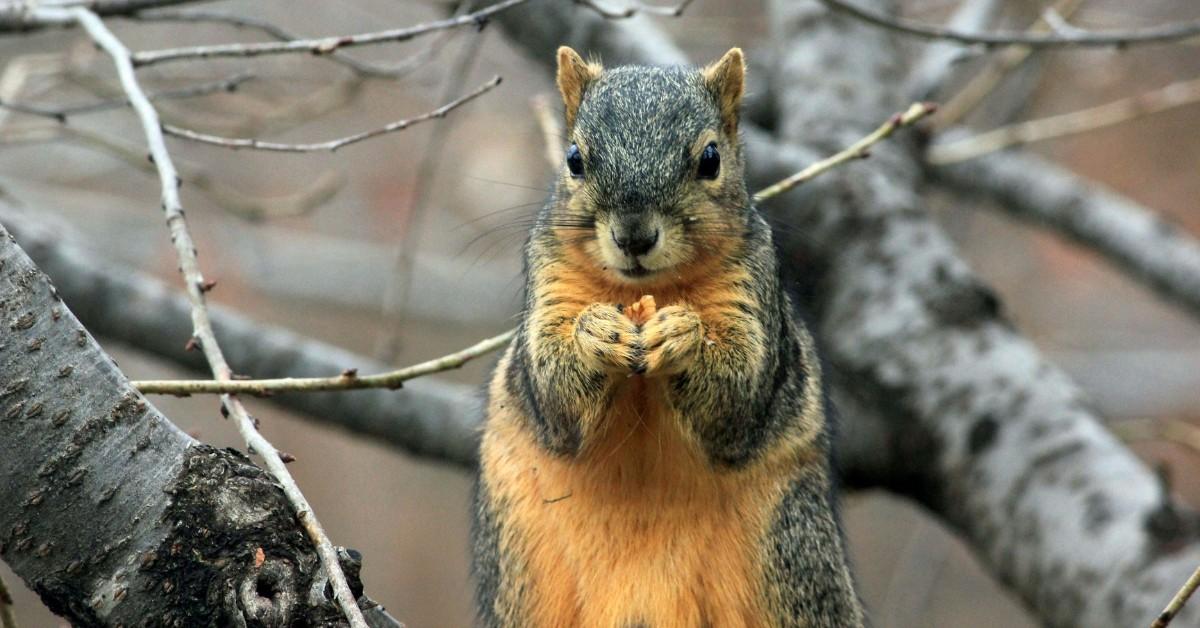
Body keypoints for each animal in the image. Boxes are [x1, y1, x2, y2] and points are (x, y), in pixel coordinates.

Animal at [471, 46, 866, 628]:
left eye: (711, 159)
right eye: (574, 159)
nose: (634, 236)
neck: (645, 291)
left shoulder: (752, 291)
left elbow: (738, 397)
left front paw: (684, 336)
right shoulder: (548, 283)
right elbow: (553, 394)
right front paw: (596, 334)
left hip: (791, 554)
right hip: (517, 568)